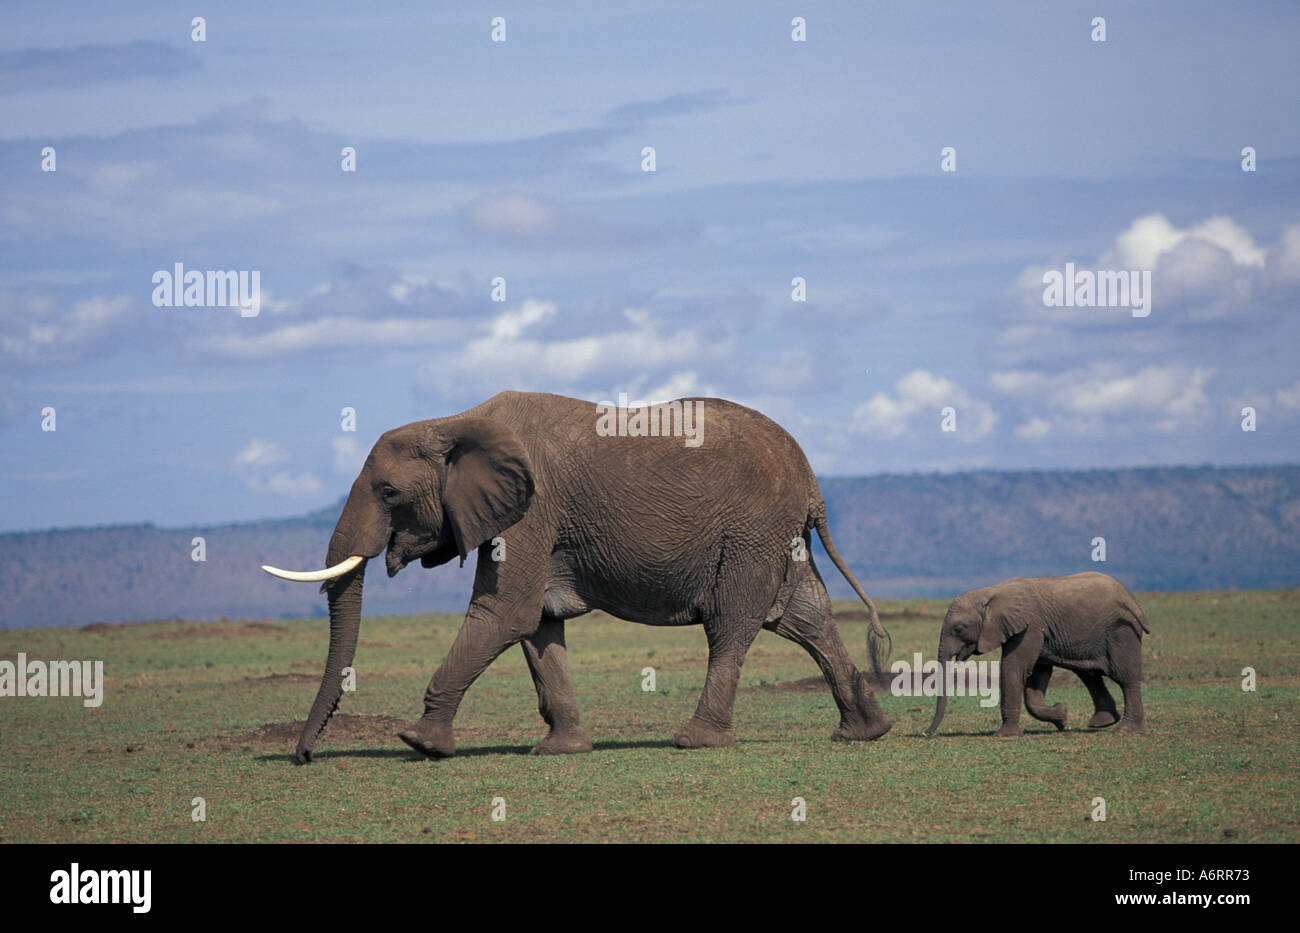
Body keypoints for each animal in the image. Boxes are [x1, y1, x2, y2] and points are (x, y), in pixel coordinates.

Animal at [262, 390, 893, 762]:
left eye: (389, 492)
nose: (304, 756)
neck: (453, 421)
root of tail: (810, 475)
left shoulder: (531, 510)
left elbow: (504, 613)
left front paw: (420, 744)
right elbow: (537, 622)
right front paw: (561, 749)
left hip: (748, 533)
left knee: (732, 624)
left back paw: (695, 740)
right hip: (776, 535)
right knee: (805, 617)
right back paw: (864, 732)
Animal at [925, 572, 1148, 737]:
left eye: (959, 629)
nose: (927, 733)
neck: (990, 592)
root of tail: (1131, 597)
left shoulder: (1029, 626)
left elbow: (1014, 667)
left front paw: (1004, 735)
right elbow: (1037, 676)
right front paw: (1061, 717)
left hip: (1120, 630)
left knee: (1124, 676)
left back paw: (1125, 730)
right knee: (1089, 674)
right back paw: (1101, 723)